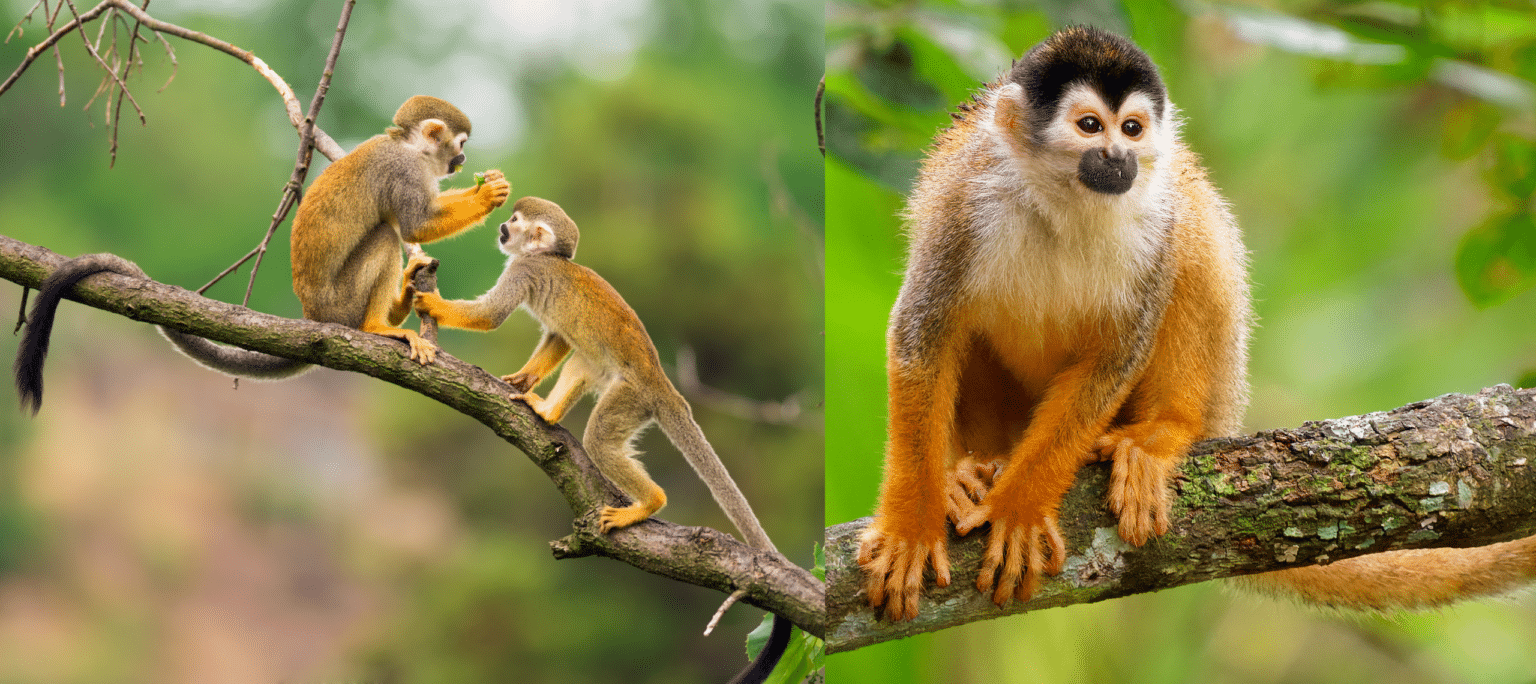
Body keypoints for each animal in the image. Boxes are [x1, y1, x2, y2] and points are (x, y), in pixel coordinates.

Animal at [13, 95, 510, 413]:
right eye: (460, 145)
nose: (463, 162)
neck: (409, 148)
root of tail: (313, 317)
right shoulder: (403, 171)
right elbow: (413, 224)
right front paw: (488, 196)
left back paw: (404, 298)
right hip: (341, 302)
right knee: (386, 236)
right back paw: (378, 326)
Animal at [409, 196, 793, 684]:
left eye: (513, 222)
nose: (500, 229)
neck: (548, 259)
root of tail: (664, 384)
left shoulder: (524, 271)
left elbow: (491, 316)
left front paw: (432, 302)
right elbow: (557, 337)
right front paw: (524, 378)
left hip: (632, 397)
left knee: (600, 439)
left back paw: (649, 503)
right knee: (583, 356)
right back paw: (548, 412)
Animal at [856, 25, 1536, 622]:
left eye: (1131, 129)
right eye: (1090, 126)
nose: (1118, 157)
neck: (1064, 203)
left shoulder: (1154, 222)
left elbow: (1117, 354)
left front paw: (1020, 508)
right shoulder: (962, 206)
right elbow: (923, 335)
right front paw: (914, 521)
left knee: (1196, 239)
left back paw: (1165, 430)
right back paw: (969, 467)